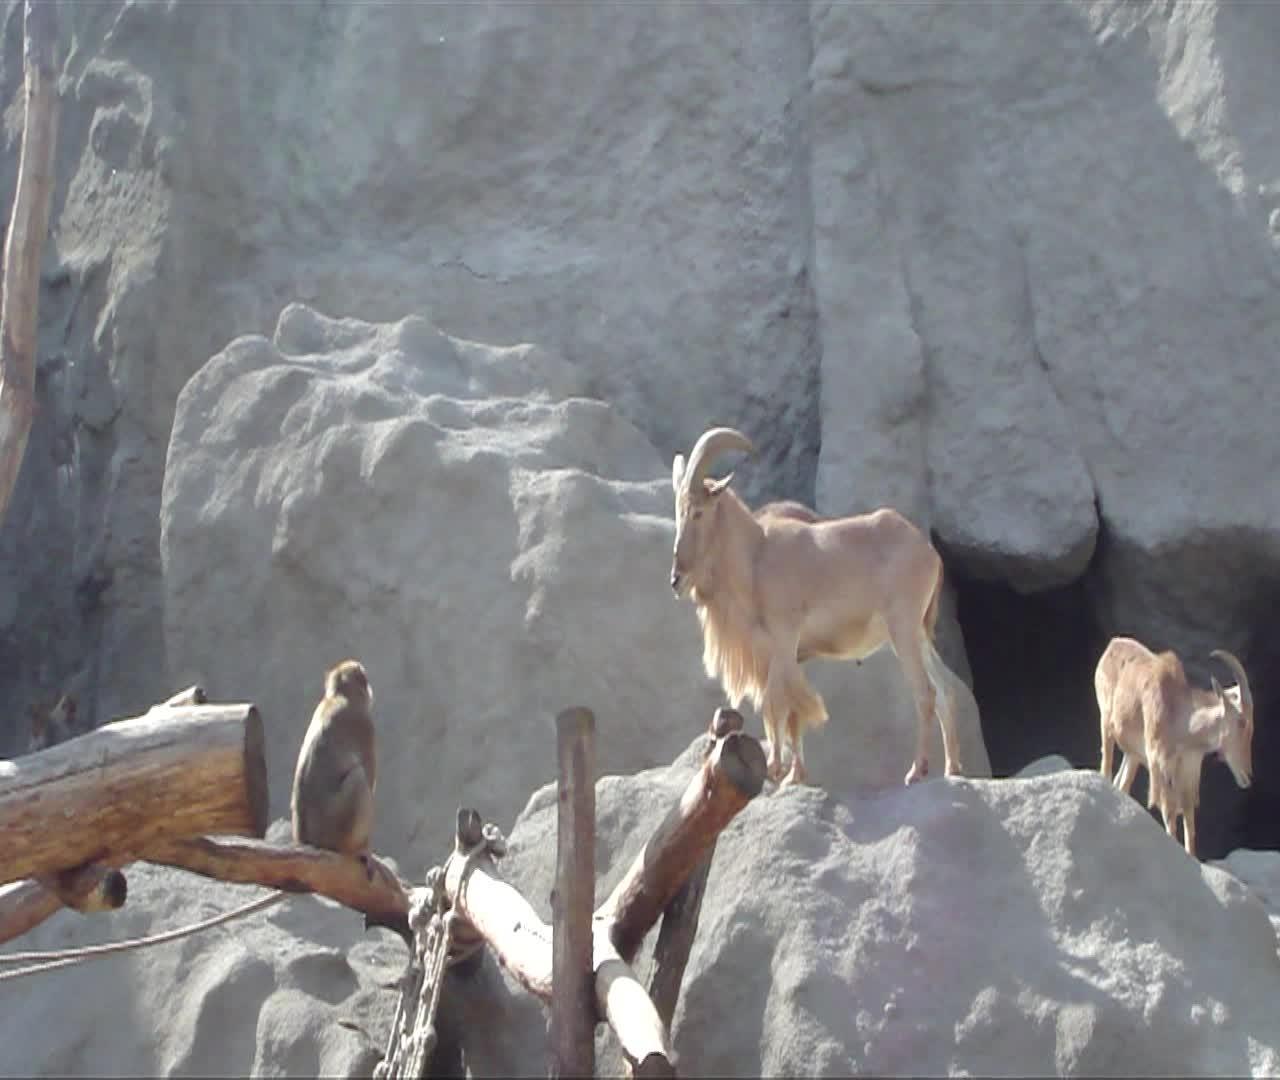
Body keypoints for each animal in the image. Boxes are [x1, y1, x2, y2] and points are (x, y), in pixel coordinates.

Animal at [291, 659, 377, 863]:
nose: (371, 690)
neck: (340, 696)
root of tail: (309, 842)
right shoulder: (365, 726)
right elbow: (369, 779)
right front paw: (367, 849)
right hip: (338, 829)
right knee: (358, 778)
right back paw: (355, 850)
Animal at [669, 426, 964, 787]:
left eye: (698, 511)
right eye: (678, 511)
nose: (676, 579)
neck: (756, 557)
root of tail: (929, 553)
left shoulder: (783, 639)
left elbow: (775, 702)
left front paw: (774, 770)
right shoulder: (791, 656)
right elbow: (794, 712)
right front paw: (794, 776)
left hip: (903, 628)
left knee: (925, 693)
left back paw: (917, 770)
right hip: (919, 632)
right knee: (946, 689)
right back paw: (953, 769)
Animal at [1096, 636, 1254, 858]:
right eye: (1241, 722)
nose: (1247, 775)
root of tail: (1113, 644)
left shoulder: (1189, 770)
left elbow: (1188, 817)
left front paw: (1192, 856)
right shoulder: (1159, 764)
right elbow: (1169, 811)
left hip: (1133, 754)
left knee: (1122, 782)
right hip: (1106, 724)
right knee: (1106, 769)